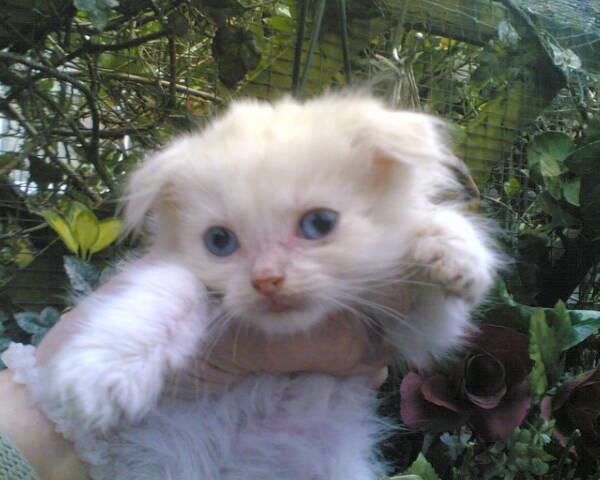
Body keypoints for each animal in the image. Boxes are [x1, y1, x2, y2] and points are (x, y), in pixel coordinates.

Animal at [4, 93, 500, 476]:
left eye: (319, 224)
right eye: (219, 241)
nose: (267, 279)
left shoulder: (406, 333)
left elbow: (431, 295)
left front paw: (451, 246)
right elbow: (171, 288)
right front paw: (107, 372)